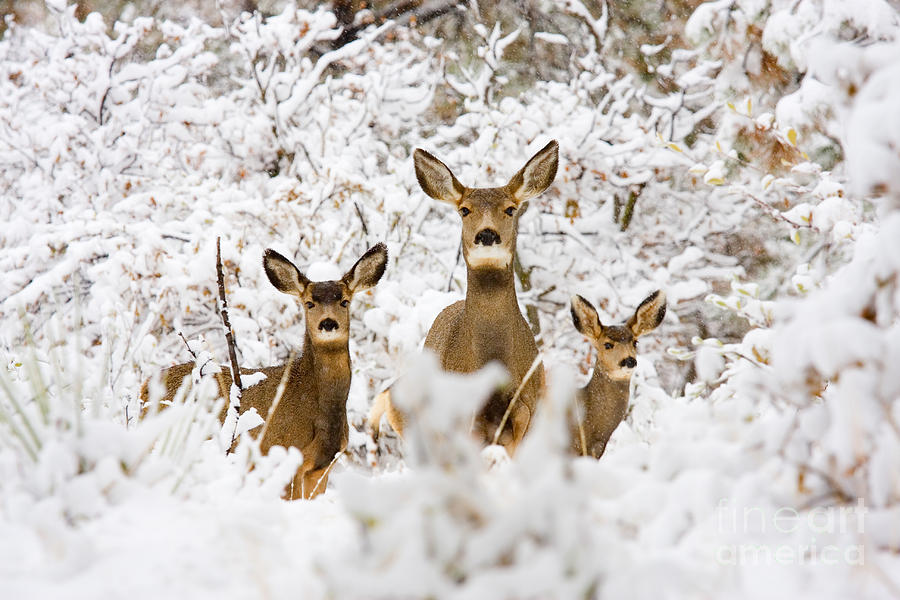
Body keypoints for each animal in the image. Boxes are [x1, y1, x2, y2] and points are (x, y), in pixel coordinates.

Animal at [141, 242, 388, 499]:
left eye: (344, 301)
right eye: (309, 303)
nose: (328, 323)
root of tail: (145, 387)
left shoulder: (323, 468)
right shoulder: (285, 453)